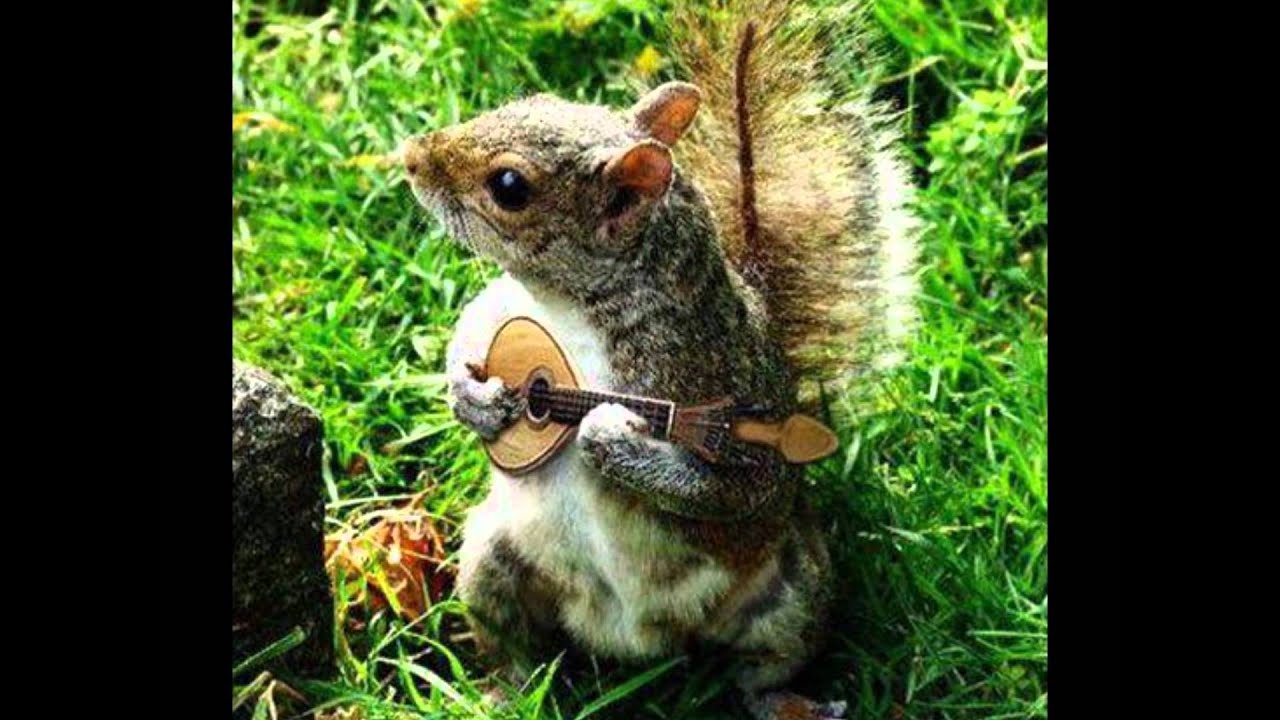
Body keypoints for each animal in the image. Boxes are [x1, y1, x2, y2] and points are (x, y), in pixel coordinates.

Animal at [400, 1, 919, 718]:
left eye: (509, 186)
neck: (565, 304)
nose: (410, 157)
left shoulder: (711, 381)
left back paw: (787, 701)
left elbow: (733, 486)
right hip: (490, 561)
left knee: (762, 669)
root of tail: (637, 642)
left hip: (793, 593)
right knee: (514, 643)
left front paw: (609, 438)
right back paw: (504, 691)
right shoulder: (497, 309)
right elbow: (462, 345)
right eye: (530, 100)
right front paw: (474, 401)